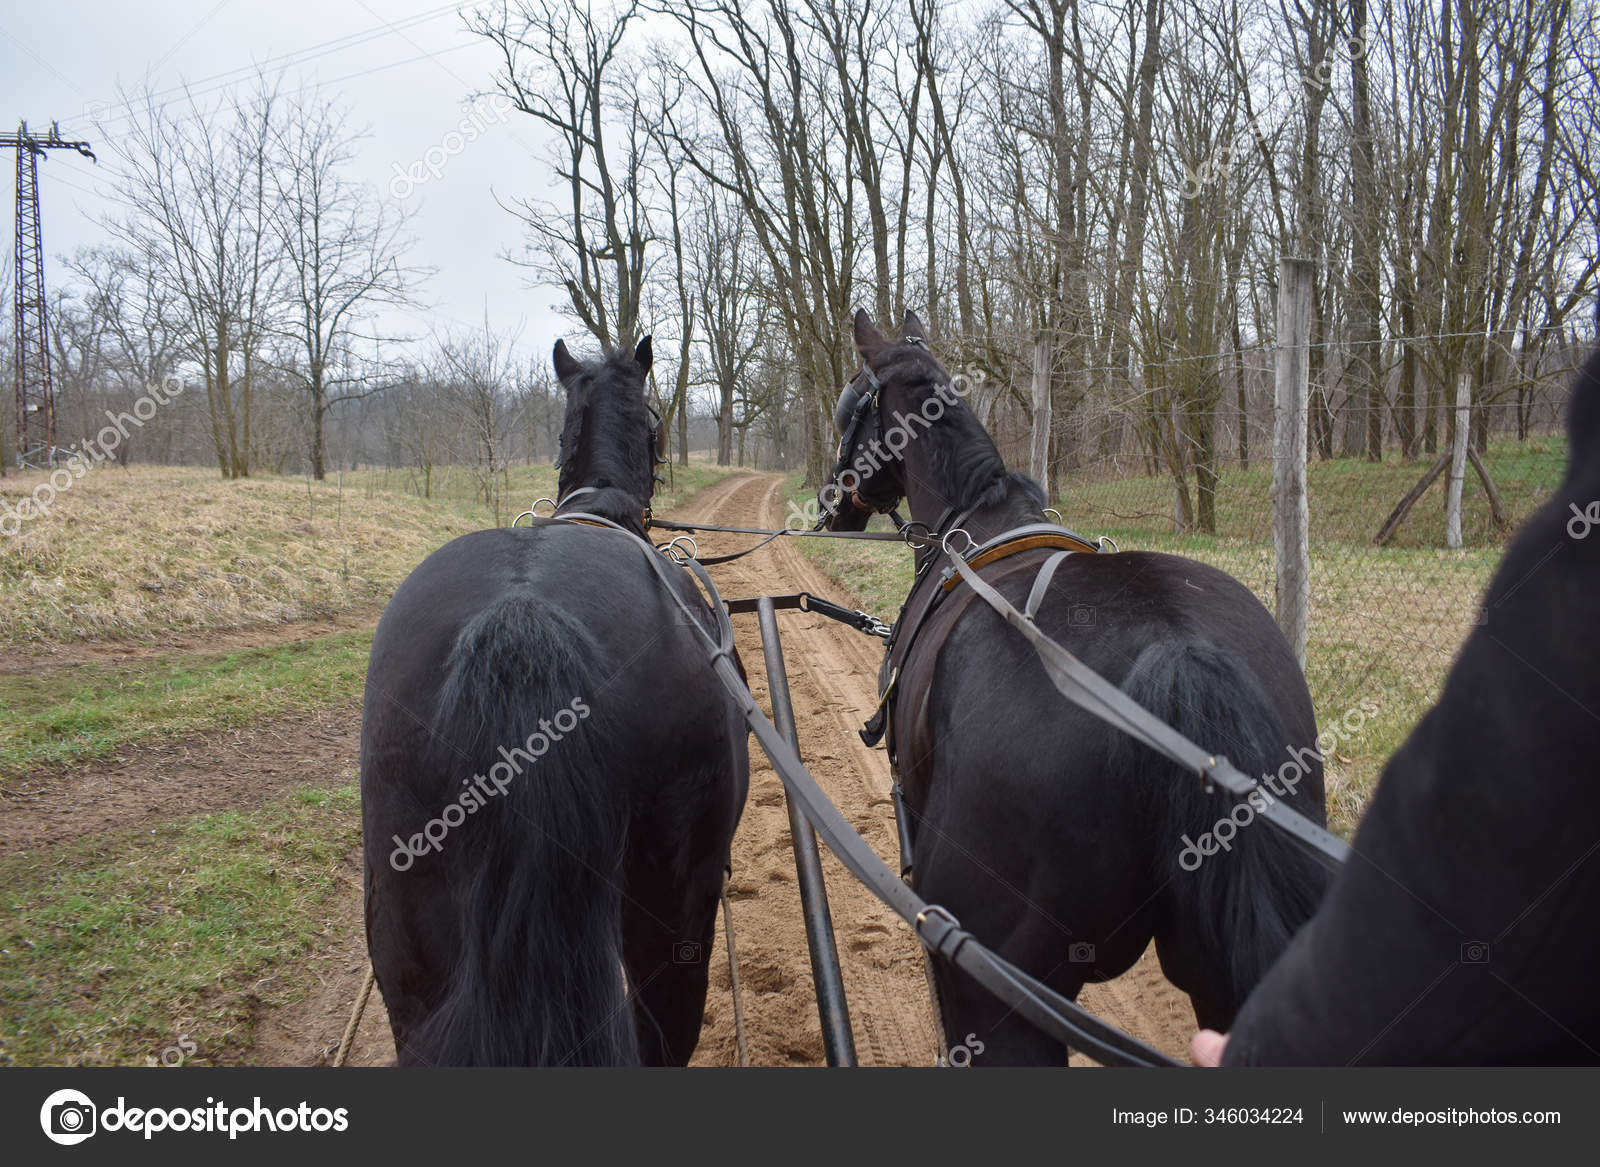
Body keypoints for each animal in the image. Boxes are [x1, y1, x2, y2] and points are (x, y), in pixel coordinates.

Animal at [820, 309, 1334, 1064]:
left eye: (849, 404)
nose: (830, 502)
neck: (976, 521)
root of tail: (1176, 651)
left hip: (998, 986)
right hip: (1221, 978)